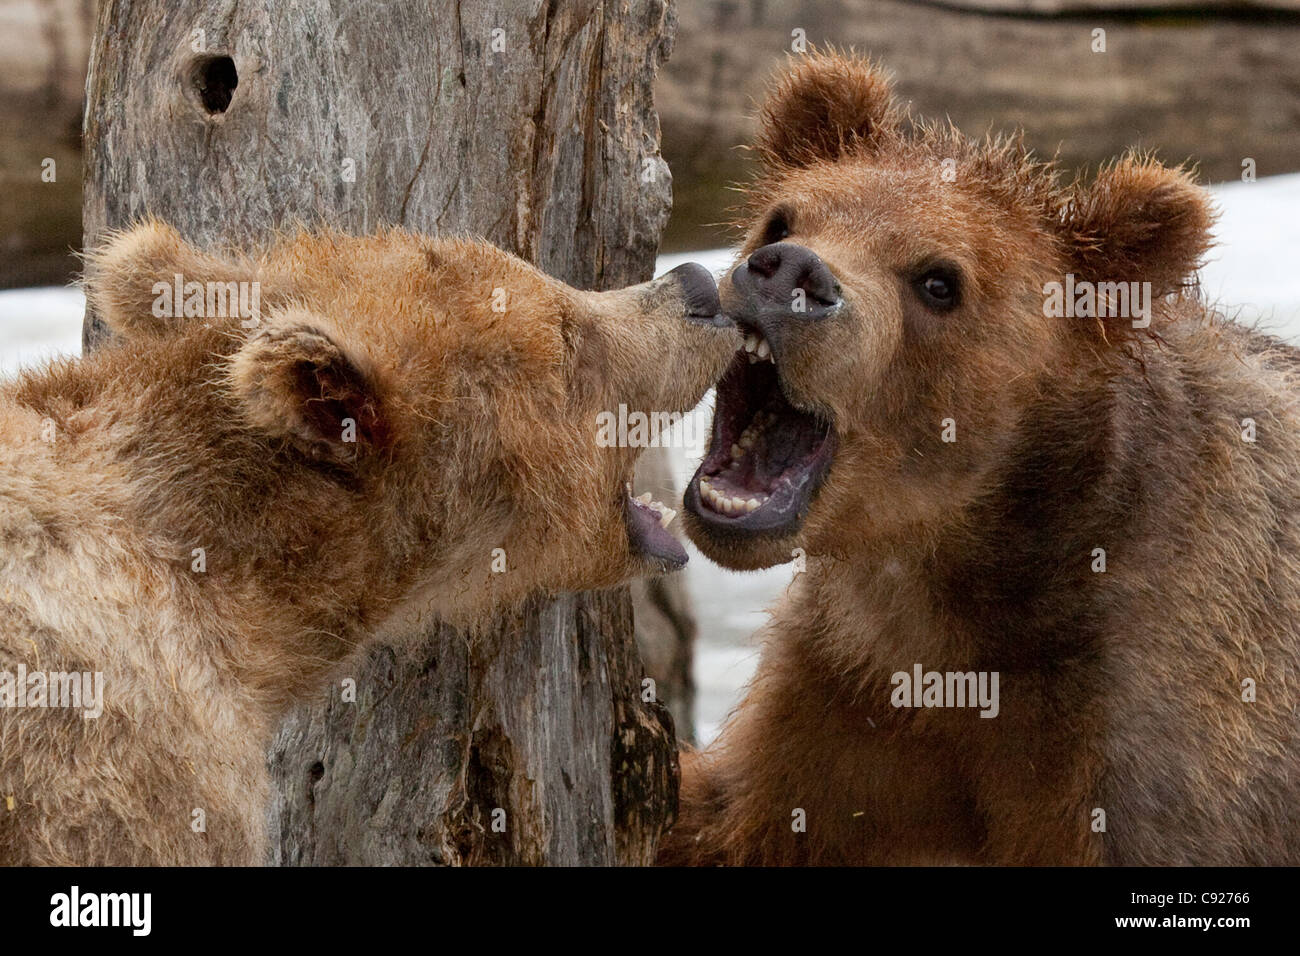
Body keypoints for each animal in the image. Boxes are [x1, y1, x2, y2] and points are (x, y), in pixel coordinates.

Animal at [660, 50, 1300, 868]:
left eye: (939, 280)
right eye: (784, 218)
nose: (790, 273)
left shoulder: (1160, 727)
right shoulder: (850, 688)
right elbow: (729, 814)